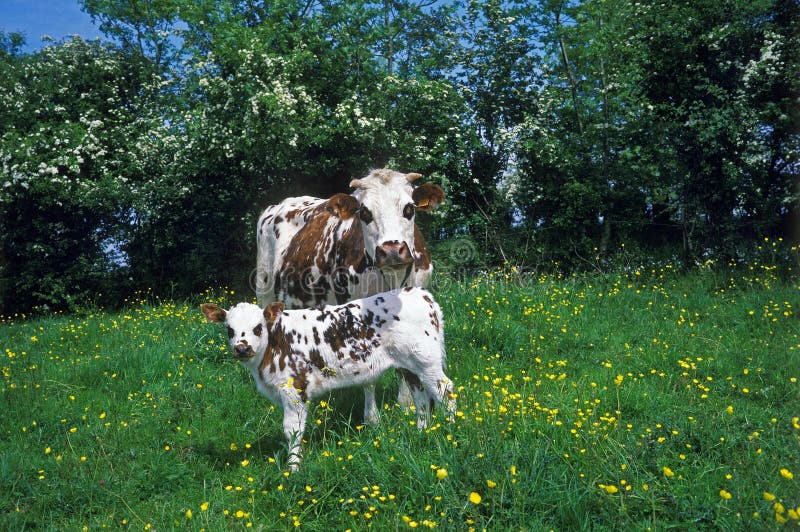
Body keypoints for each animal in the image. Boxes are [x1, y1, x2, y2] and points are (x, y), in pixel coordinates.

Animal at [201, 287, 456, 470]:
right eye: (229, 330)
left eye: (257, 327)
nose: (242, 349)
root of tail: (420, 293)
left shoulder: (294, 390)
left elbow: (292, 430)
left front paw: (293, 470)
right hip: (408, 366)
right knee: (421, 397)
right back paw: (422, 431)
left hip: (427, 361)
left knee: (445, 391)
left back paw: (452, 433)